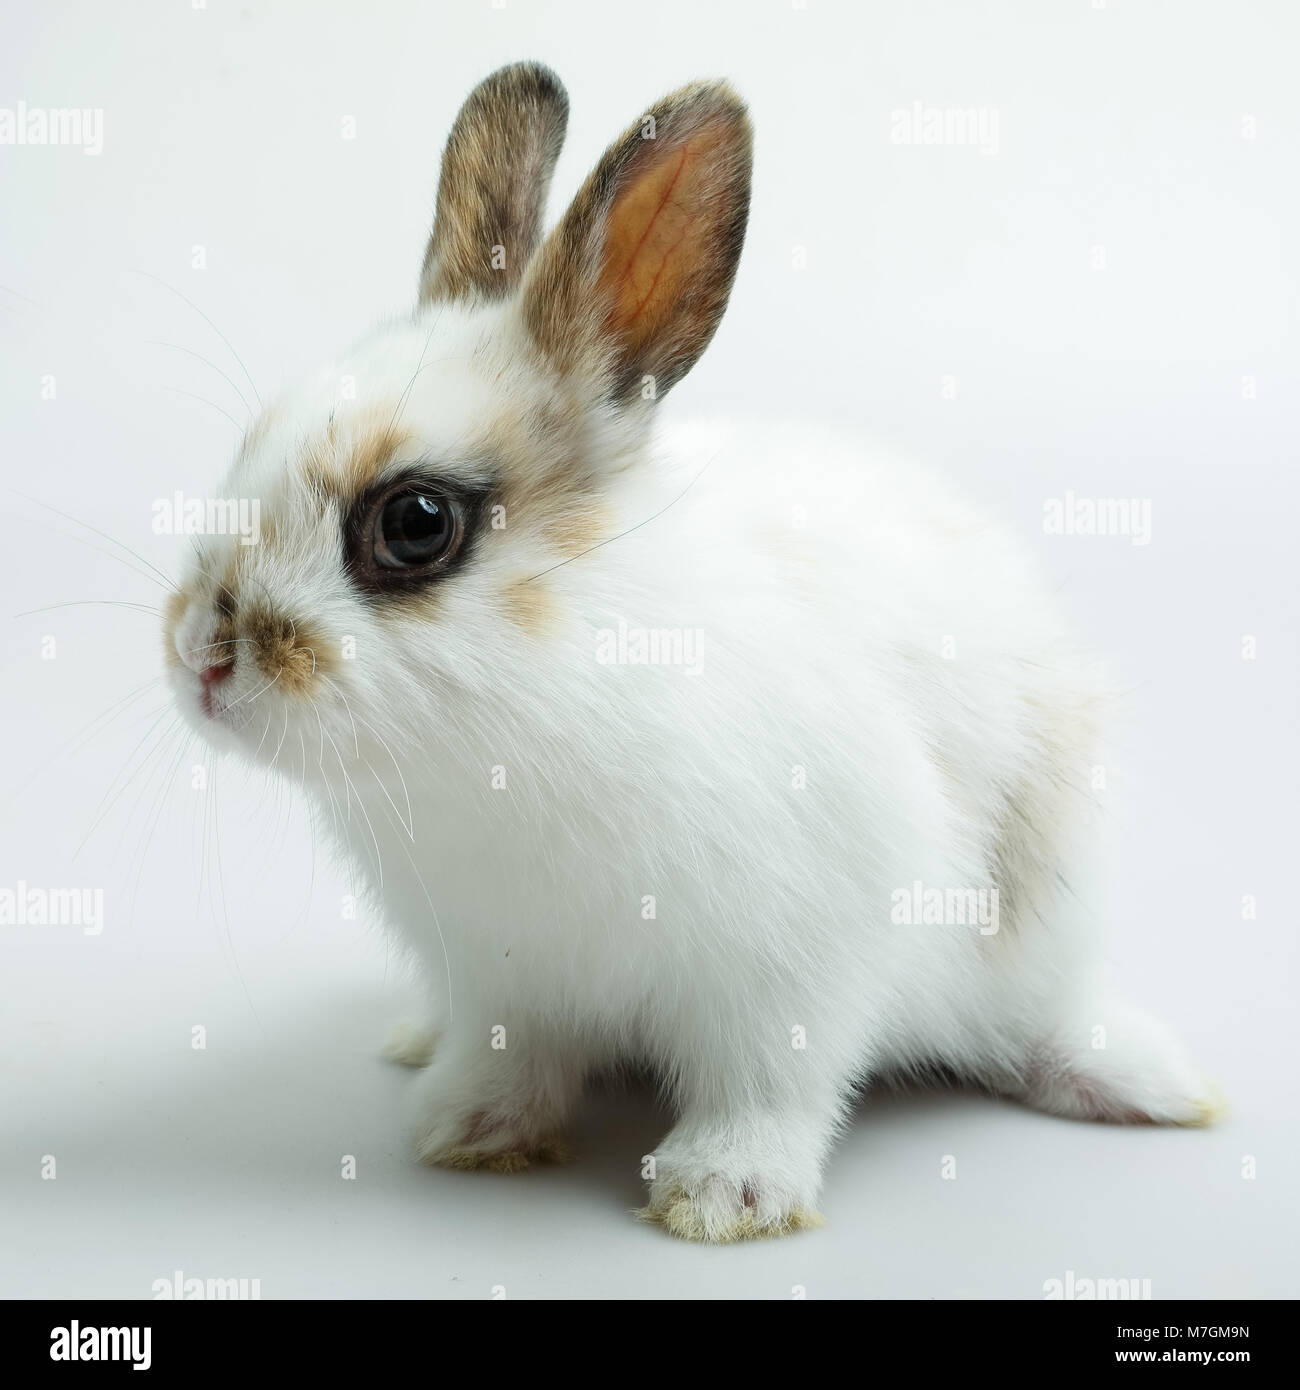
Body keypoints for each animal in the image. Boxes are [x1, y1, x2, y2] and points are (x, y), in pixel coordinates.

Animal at [163, 62, 1223, 1242]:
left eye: (416, 522)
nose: (200, 655)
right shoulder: (496, 977)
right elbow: (511, 1057)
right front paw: (468, 1129)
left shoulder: (796, 969)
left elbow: (770, 1083)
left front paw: (723, 1196)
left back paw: (1141, 1084)